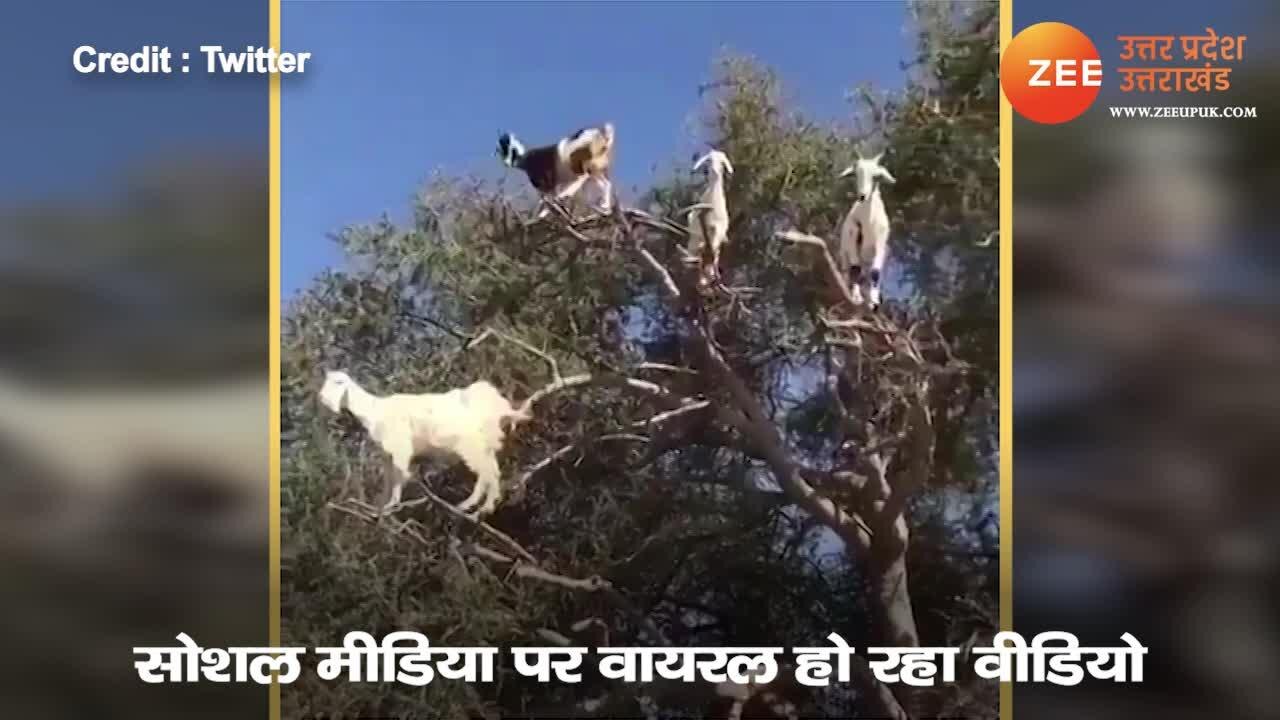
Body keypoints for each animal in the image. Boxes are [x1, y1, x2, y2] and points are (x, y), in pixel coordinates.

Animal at [318, 370, 531, 516]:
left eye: (339, 382)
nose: (323, 398)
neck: (376, 410)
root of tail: (496, 404)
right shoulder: (387, 453)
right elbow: (389, 479)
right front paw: (380, 507)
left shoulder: (400, 448)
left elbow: (398, 477)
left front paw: (391, 505)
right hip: (483, 445)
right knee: (490, 472)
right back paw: (475, 507)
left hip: (472, 445)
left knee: (487, 473)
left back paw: (479, 507)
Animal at [837, 150, 896, 310]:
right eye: (856, 174)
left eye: (876, 176)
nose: (862, 196)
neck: (869, 222)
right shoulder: (853, 239)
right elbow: (855, 269)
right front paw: (857, 297)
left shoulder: (880, 243)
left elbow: (875, 272)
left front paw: (873, 301)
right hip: (845, 252)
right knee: (850, 271)